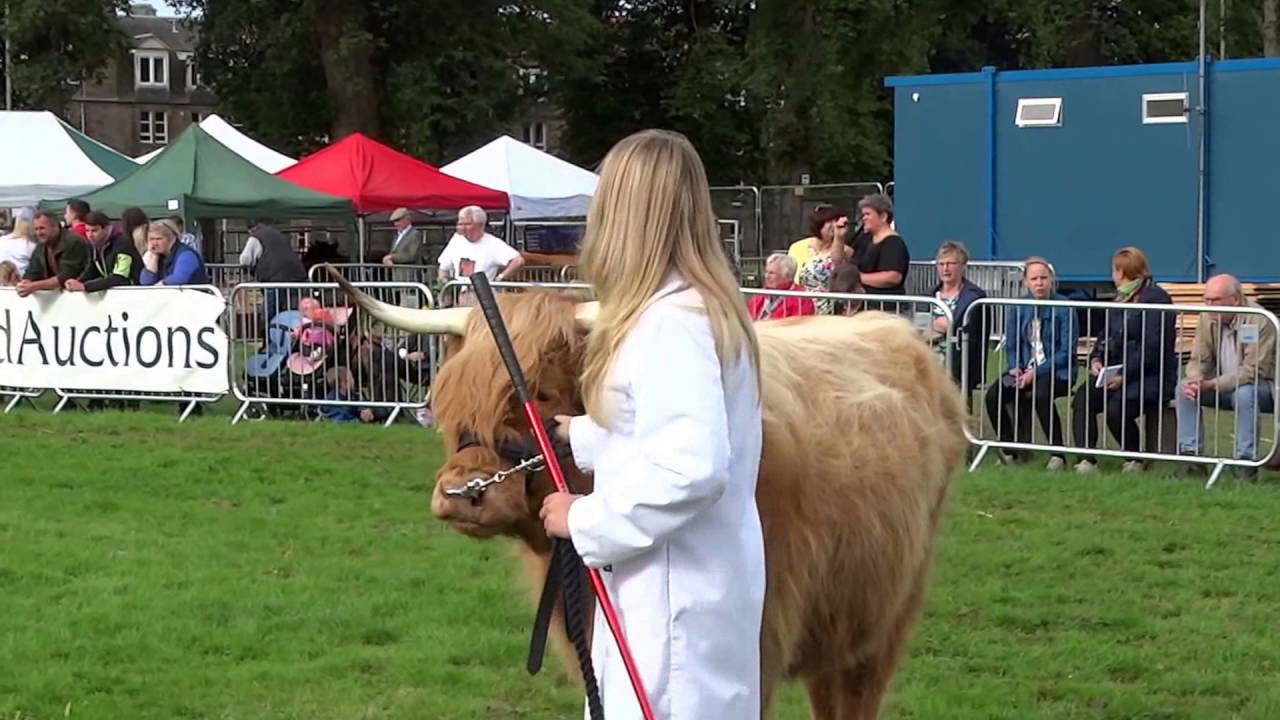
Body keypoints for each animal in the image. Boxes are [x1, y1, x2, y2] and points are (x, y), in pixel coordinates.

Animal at [334, 277, 968, 720]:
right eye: (448, 396)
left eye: (539, 392)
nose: (458, 494)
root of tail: (893, 329)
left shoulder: (761, 644)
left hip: (880, 623)